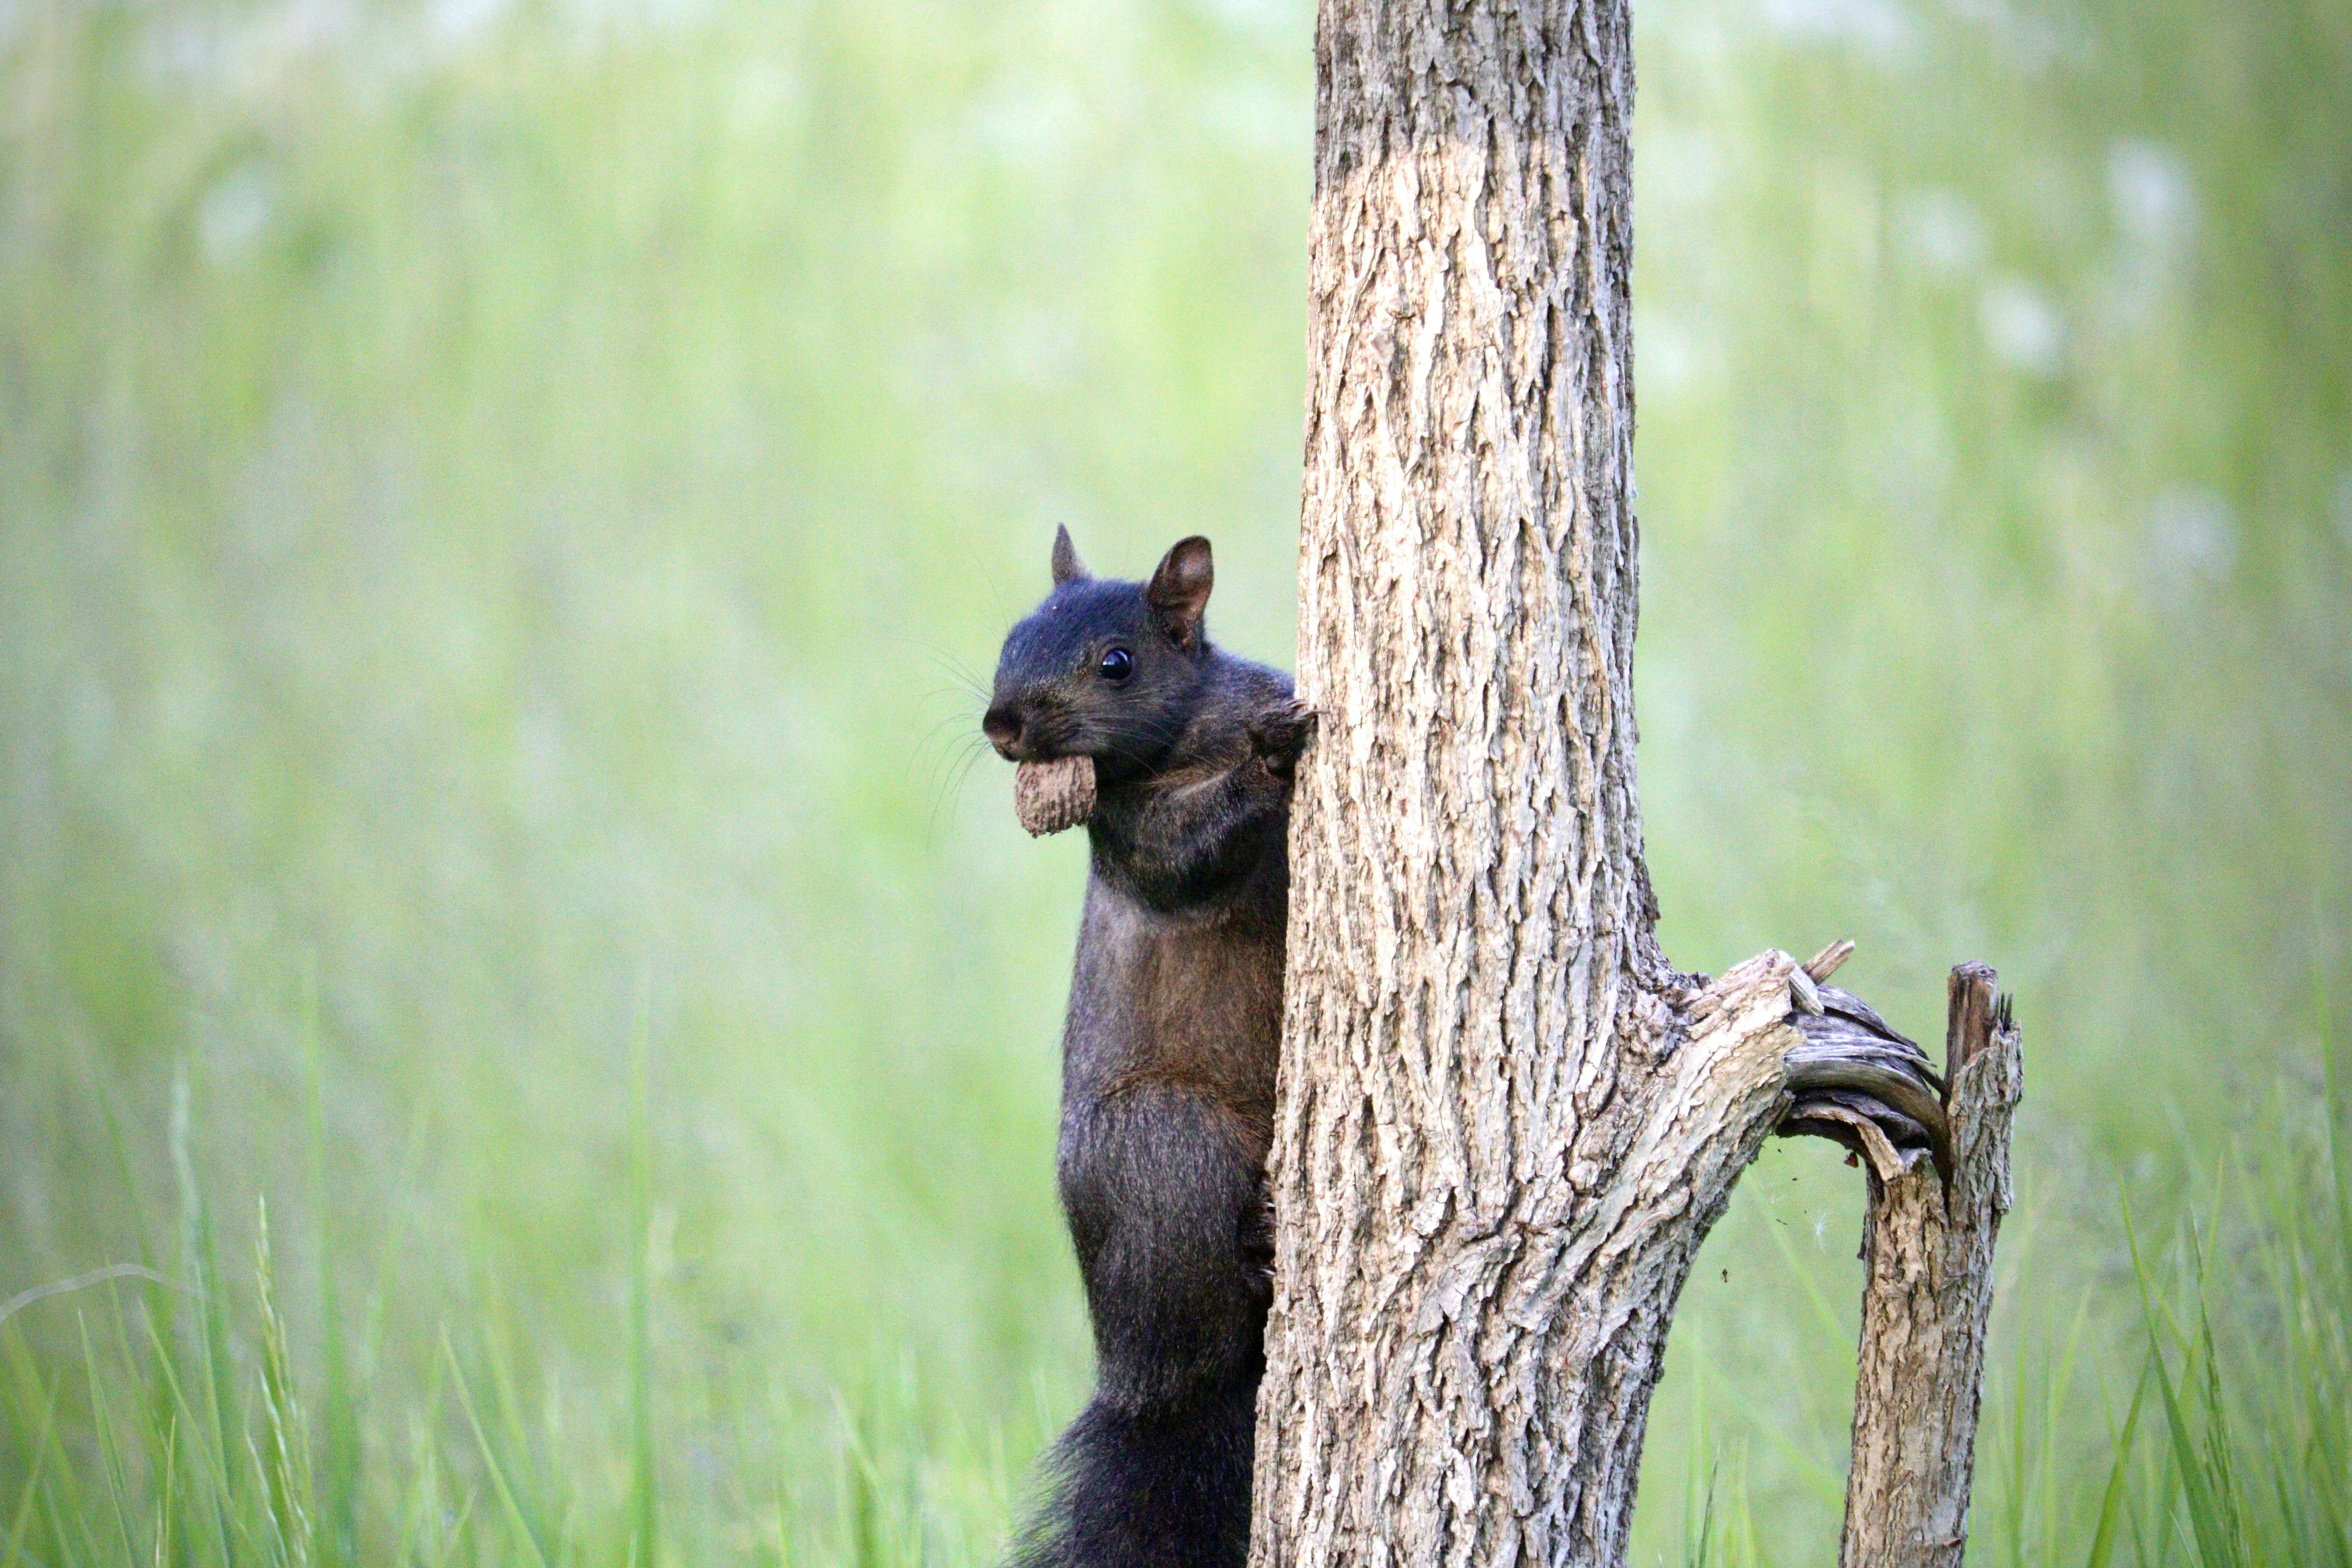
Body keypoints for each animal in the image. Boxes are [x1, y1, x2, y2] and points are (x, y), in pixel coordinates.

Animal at [984, 528, 1312, 1568]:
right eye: (1009, 641)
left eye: (1118, 662)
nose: (1002, 724)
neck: (1192, 738)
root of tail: (1145, 1382)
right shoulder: (1132, 836)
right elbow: (1189, 848)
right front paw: (1271, 761)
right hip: (1165, 1144)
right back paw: (1254, 1254)